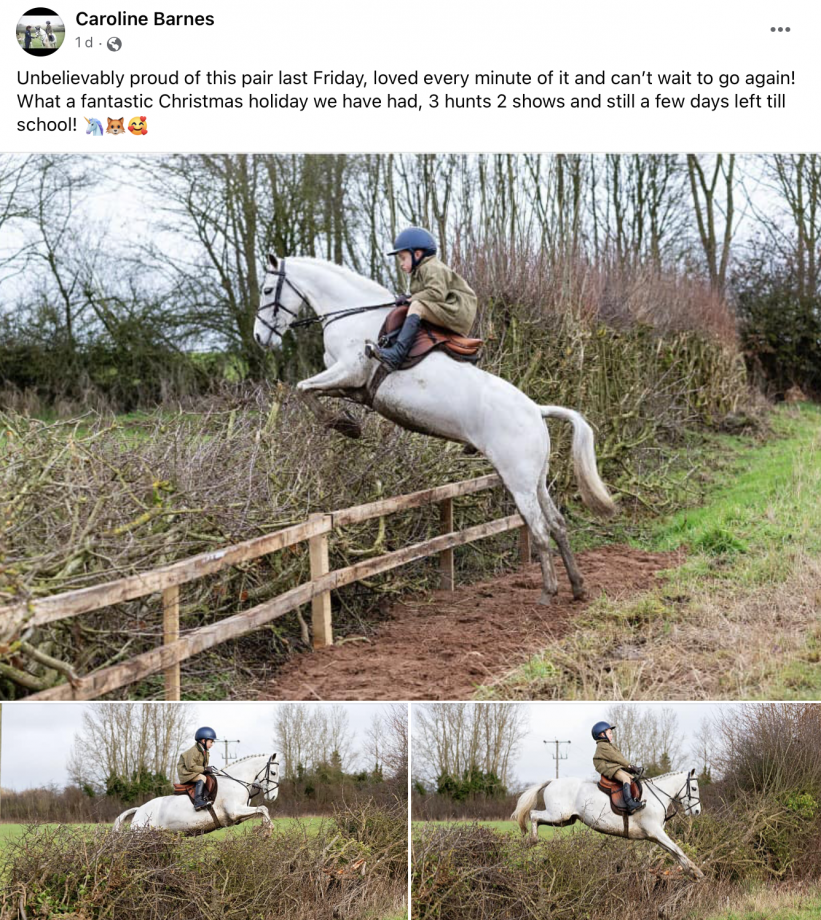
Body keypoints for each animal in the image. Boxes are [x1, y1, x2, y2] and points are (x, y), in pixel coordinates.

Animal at [113, 753, 280, 835]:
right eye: (273, 772)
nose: (273, 797)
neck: (235, 781)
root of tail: (139, 810)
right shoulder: (235, 811)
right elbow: (263, 808)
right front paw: (268, 830)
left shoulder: (237, 816)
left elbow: (262, 810)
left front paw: (263, 828)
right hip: (141, 834)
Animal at [253, 255, 616, 605]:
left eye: (268, 290)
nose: (259, 338)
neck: (351, 313)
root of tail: (536, 410)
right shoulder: (351, 386)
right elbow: (313, 391)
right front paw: (347, 422)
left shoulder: (348, 372)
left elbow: (303, 388)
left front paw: (345, 426)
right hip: (536, 479)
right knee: (557, 524)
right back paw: (577, 587)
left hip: (519, 481)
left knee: (540, 530)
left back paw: (548, 593)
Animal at [511, 769, 704, 879]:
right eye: (694, 789)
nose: (697, 812)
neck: (655, 796)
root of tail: (553, 781)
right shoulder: (655, 832)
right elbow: (677, 849)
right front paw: (697, 871)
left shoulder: (655, 836)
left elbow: (673, 851)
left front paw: (691, 871)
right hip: (558, 815)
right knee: (533, 815)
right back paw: (532, 840)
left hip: (564, 820)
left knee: (537, 818)